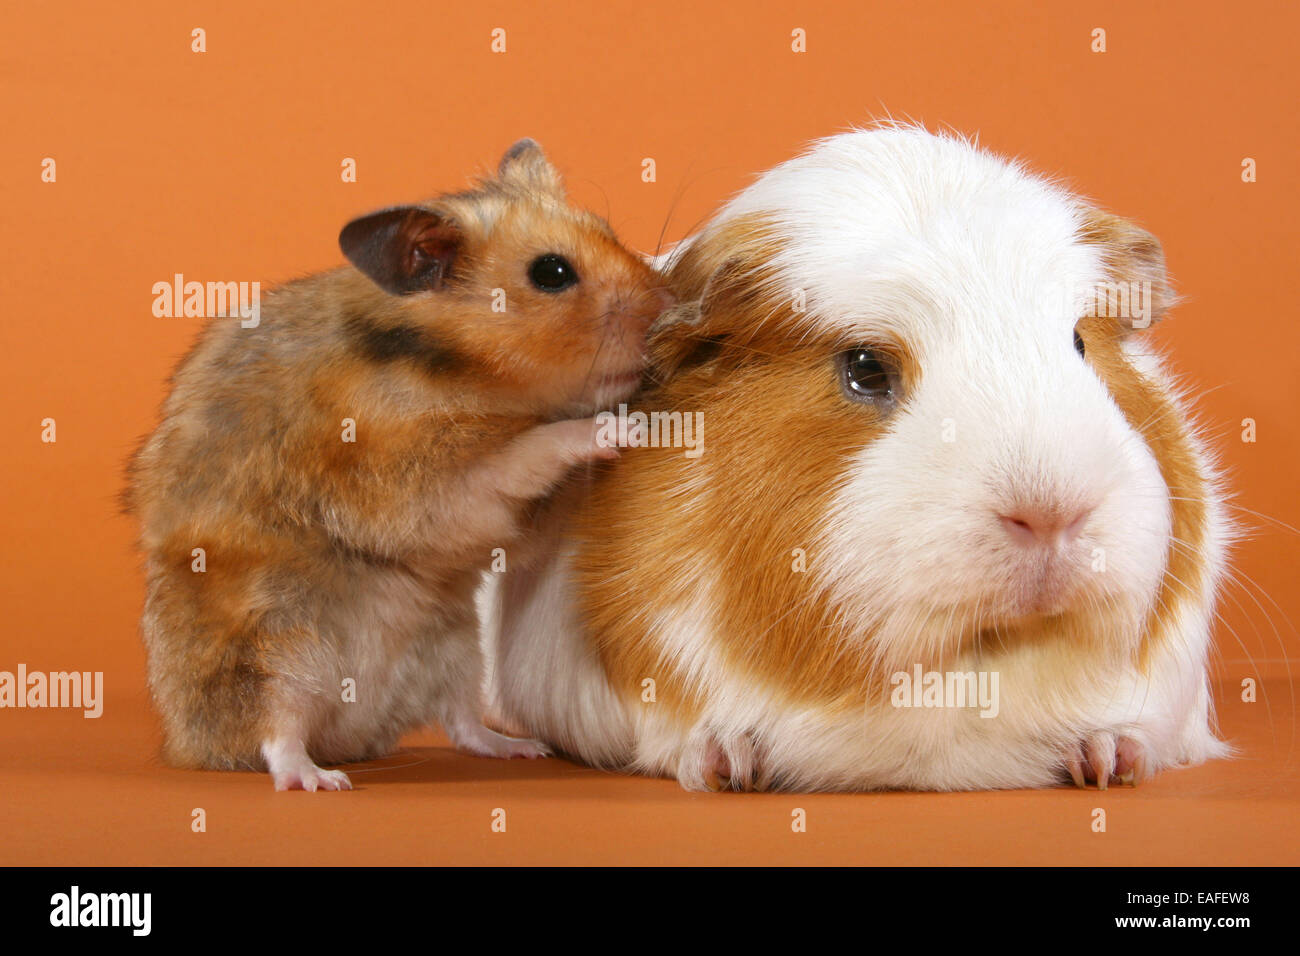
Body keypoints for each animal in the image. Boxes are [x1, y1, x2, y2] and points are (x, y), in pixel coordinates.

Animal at [127, 139, 669, 790]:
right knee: (276, 733)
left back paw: (519, 747)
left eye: (607, 231)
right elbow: (528, 453)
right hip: (278, 653)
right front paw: (623, 427)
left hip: (455, 646)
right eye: (551, 273)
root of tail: (357, 735)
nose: (671, 304)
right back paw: (318, 779)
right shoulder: (417, 487)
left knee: (462, 721)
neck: (463, 374)